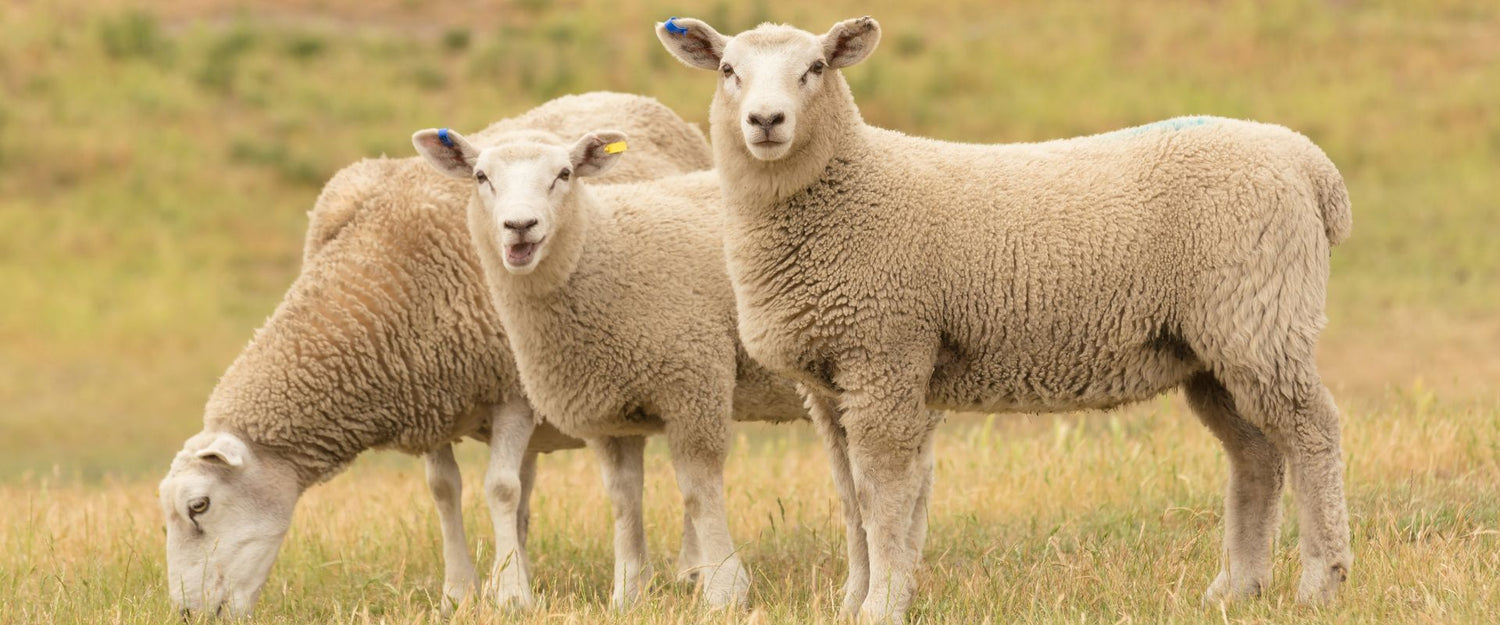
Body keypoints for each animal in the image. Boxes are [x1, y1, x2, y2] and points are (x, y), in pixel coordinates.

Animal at [156, 92, 713, 618]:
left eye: (199, 506)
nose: (187, 613)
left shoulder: (511, 391)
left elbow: (500, 489)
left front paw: (511, 597)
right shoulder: (429, 393)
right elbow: (446, 490)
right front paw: (462, 593)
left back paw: (692, 569)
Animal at [411, 128, 809, 609]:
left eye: (564, 174)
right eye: (481, 176)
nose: (520, 226)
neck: (605, 247)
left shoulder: (695, 382)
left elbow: (699, 492)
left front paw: (724, 591)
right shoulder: (609, 410)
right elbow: (623, 498)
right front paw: (628, 593)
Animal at [657, 16, 1355, 622]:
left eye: (816, 68)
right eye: (728, 70)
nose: (765, 121)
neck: (845, 189)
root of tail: (1312, 166)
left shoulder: (886, 356)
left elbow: (883, 495)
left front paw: (883, 604)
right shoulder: (830, 383)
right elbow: (851, 499)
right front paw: (851, 602)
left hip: (1260, 319)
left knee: (1313, 434)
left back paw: (1321, 583)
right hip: (1213, 348)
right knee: (1257, 455)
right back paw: (1236, 589)